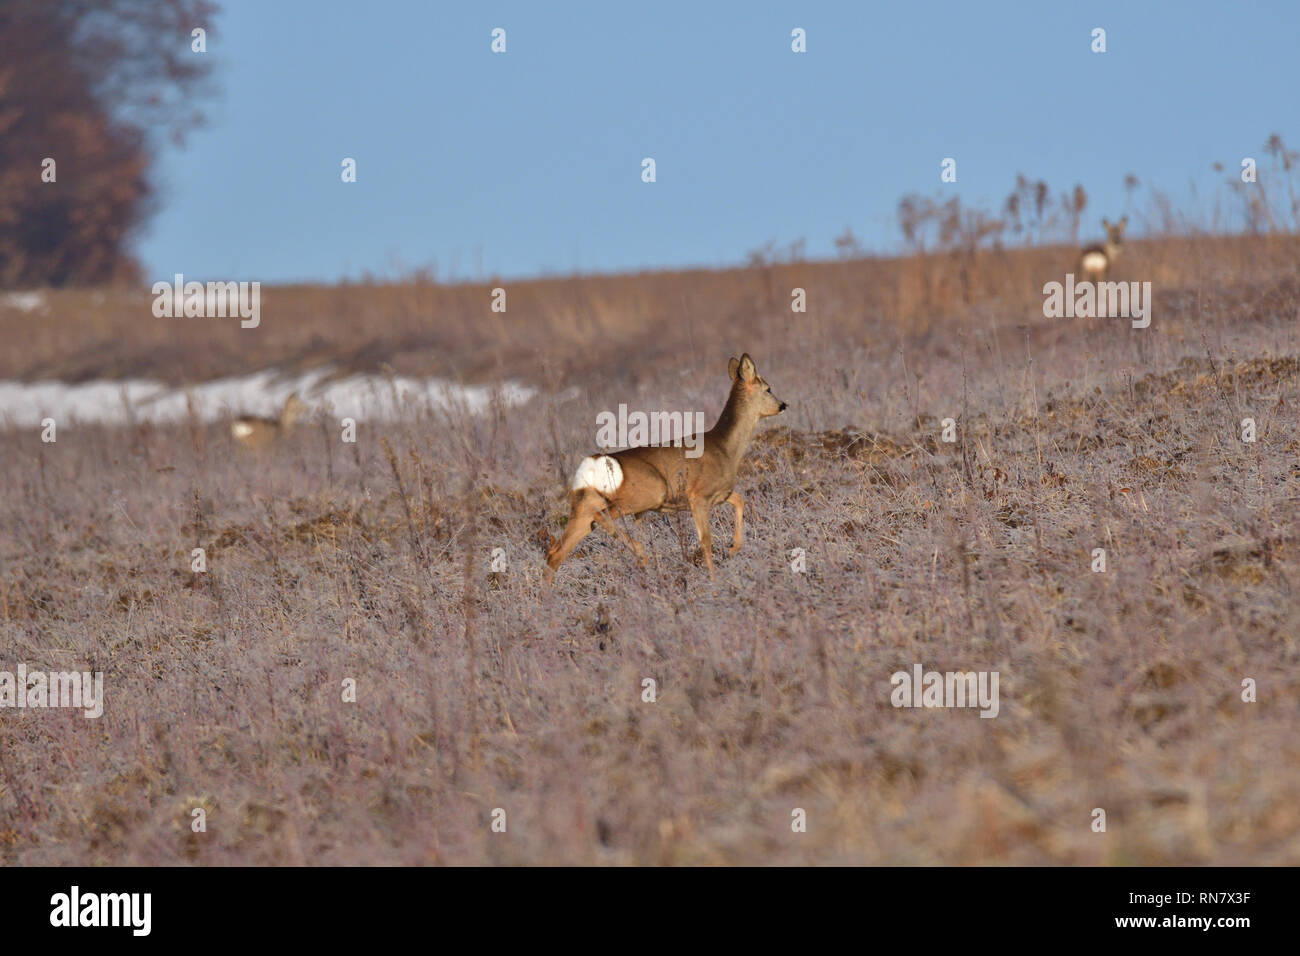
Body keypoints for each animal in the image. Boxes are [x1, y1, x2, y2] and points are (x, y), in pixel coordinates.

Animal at [544, 353, 787, 578]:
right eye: (768, 389)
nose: (783, 405)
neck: (726, 448)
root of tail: (594, 465)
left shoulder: (720, 494)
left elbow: (739, 500)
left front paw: (733, 547)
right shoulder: (698, 495)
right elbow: (706, 540)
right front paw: (714, 578)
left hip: (584, 504)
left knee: (555, 553)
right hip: (648, 493)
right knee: (599, 518)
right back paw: (641, 553)